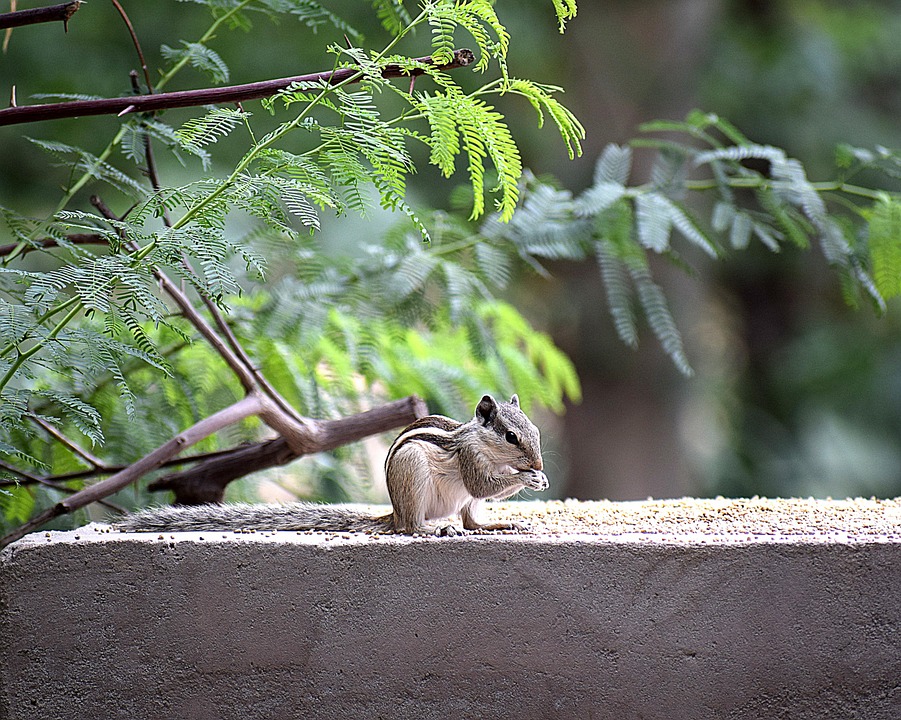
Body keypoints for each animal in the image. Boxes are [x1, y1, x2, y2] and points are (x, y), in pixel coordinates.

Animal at [116, 394, 548, 536]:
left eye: (537, 431)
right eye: (512, 437)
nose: (538, 462)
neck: (482, 443)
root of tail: (393, 512)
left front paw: (538, 476)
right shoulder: (471, 459)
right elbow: (482, 484)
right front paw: (528, 477)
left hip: (462, 506)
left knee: (472, 521)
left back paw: (498, 525)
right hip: (413, 481)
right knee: (410, 528)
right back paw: (434, 527)